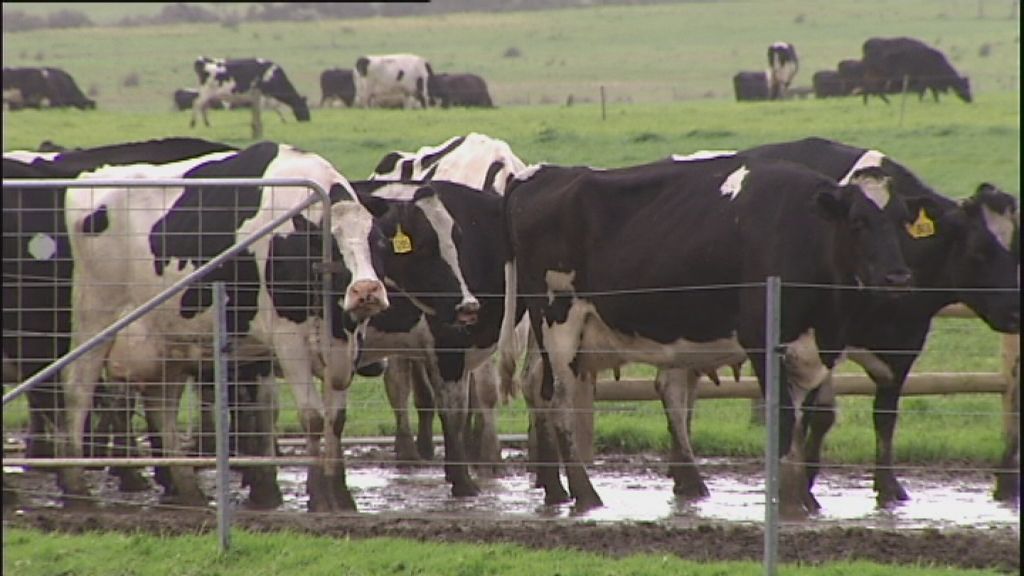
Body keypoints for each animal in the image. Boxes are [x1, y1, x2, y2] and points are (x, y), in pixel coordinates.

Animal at [58, 142, 390, 511]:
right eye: (331, 247)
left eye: (378, 242)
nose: (366, 291)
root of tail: (91, 177)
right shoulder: (288, 340)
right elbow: (313, 417)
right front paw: (318, 497)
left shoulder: (348, 344)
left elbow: (337, 418)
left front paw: (342, 497)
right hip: (98, 315)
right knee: (78, 388)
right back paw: (76, 489)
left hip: (168, 342)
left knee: (162, 407)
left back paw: (189, 491)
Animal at [499, 156, 915, 517]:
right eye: (858, 222)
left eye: (901, 223)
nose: (898, 277)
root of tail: (541, 173)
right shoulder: (763, 342)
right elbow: (783, 422)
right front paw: (789, 505)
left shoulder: (811, 353)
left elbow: (801, 423)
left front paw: (802, 499)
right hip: (558, 319)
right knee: (560, 402)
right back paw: (586, 495)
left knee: (539, 388)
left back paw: (558, 491)